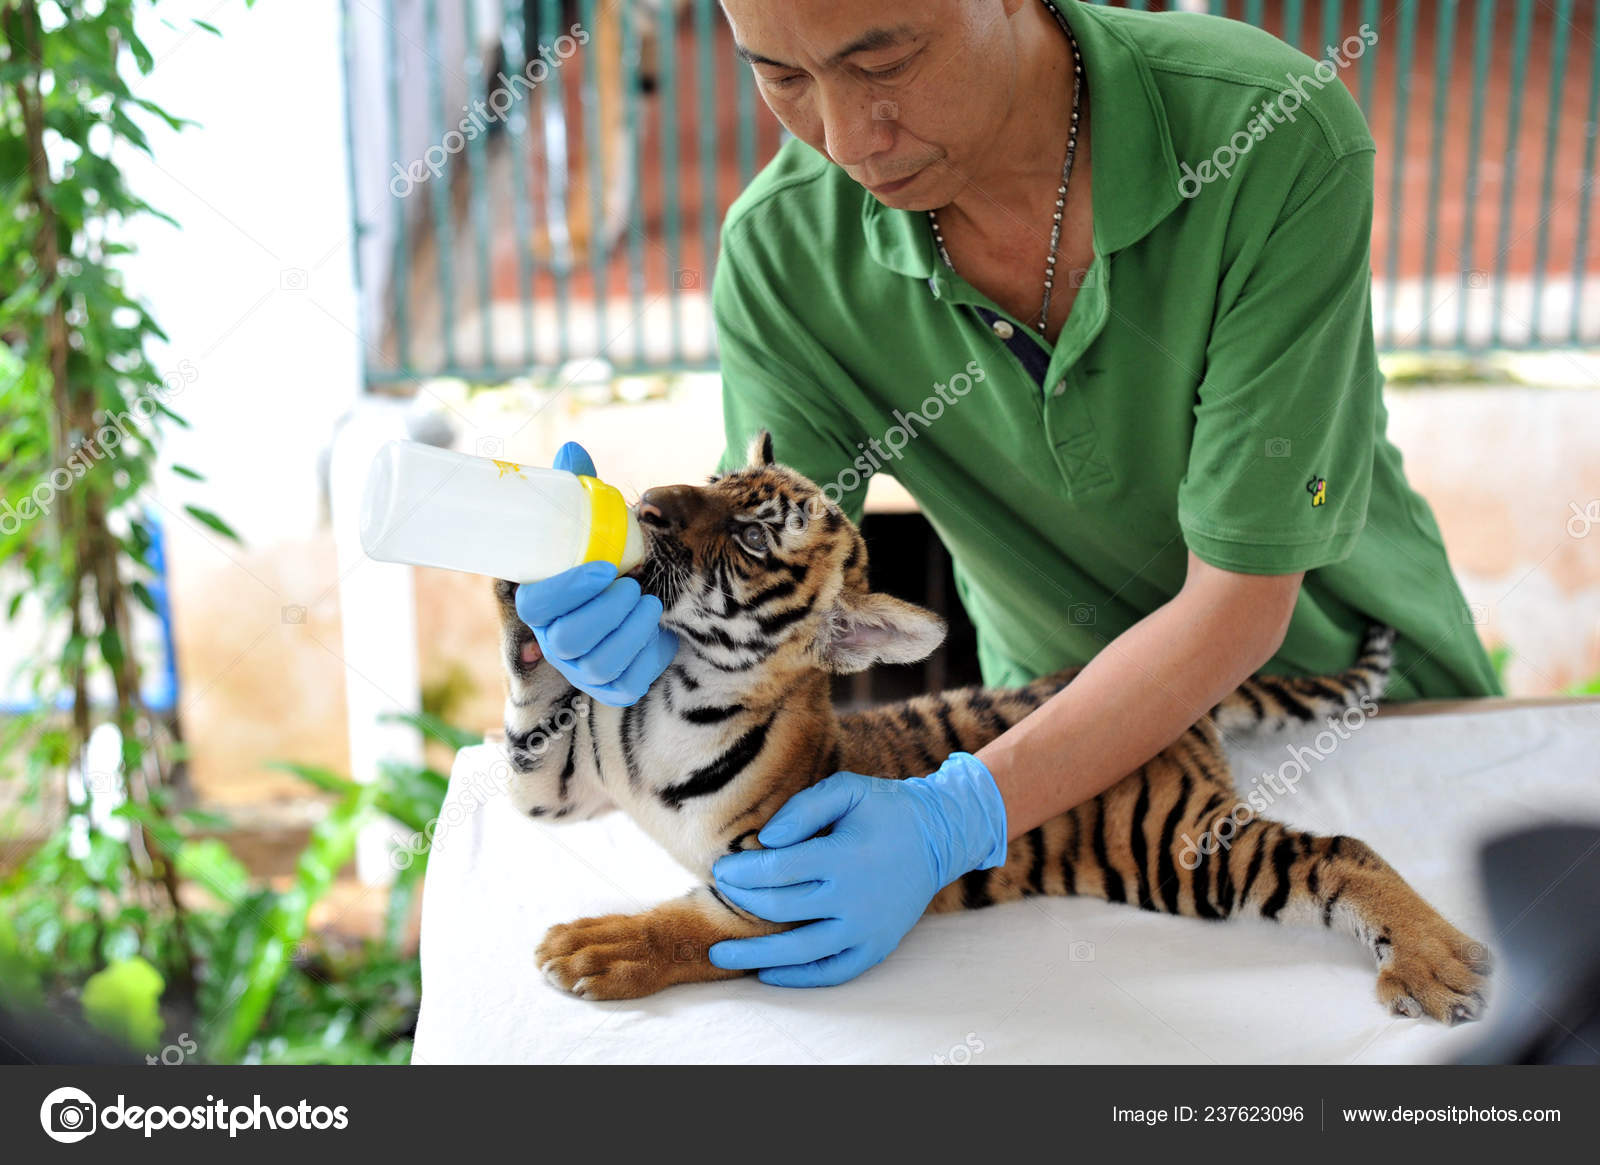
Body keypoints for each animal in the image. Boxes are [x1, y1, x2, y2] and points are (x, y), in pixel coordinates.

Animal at [490, 429, 1490, 1023]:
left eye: (750, 536)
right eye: (713, 480)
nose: (646, 506)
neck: (679, 690)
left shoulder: (792, 882)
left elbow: (694, 927)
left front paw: (598, 946)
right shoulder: (566, 785)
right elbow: (535, 730)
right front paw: (531, 579)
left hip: (1182, 842)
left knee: (1336, 851)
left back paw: (1434, 959)